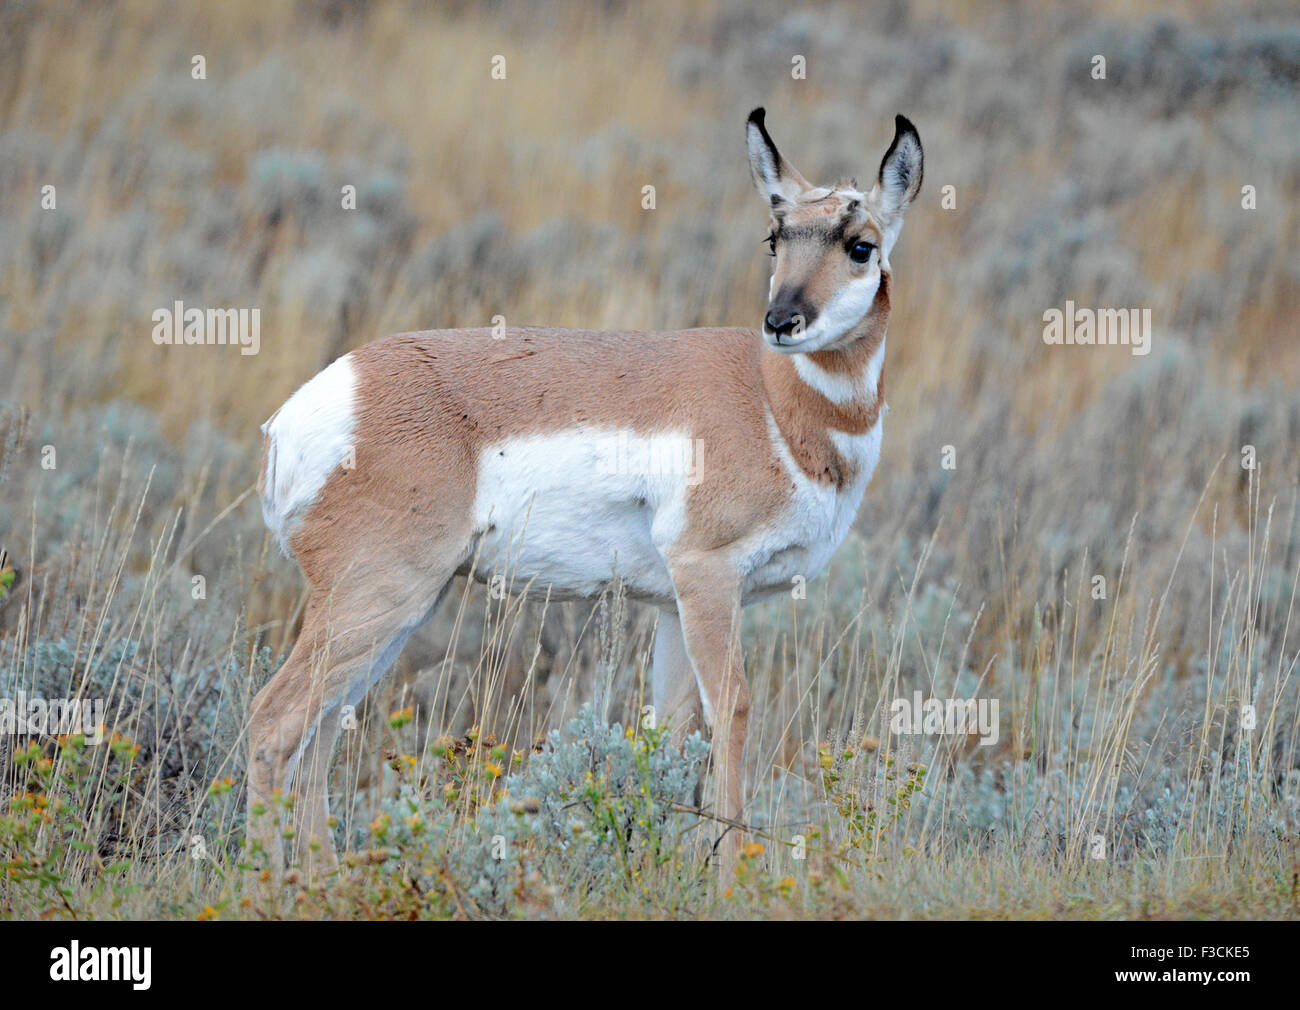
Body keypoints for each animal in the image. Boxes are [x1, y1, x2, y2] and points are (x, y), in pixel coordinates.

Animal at [249, 108, 923, 873]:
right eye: (775, 237)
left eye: (861, 245)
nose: (781, 322)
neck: (771, 400)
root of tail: (307, 411)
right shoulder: (709, 578)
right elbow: (734, 710)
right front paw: (730, 875)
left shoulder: (673, 606)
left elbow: (673, 726)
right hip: (376, 599)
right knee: (275, 724)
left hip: (399, 611)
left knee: (321, 733)